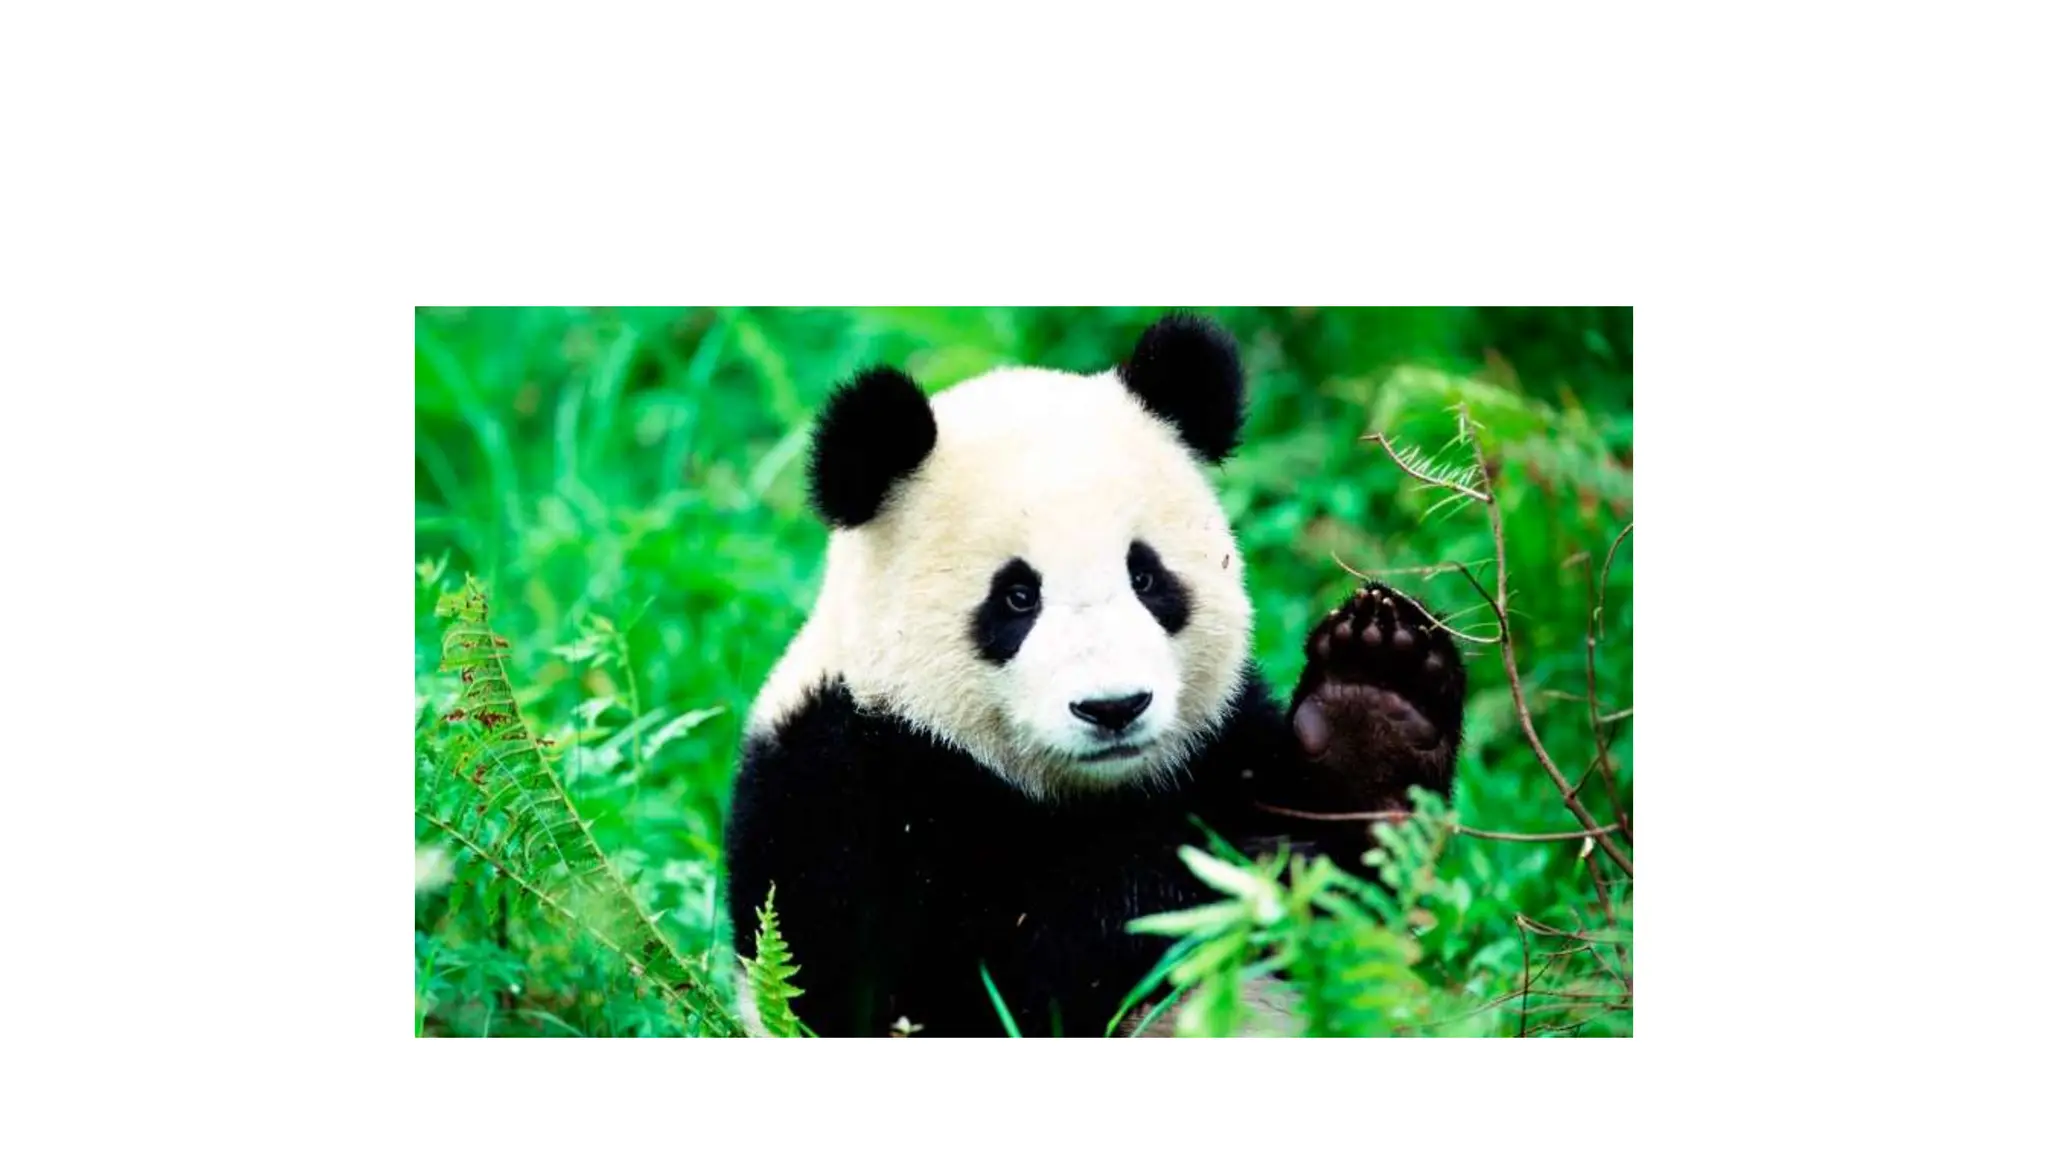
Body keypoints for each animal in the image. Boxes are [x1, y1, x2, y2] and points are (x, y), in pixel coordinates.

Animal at [724, 314, 1466, 1037]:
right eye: (1017, 597)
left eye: (1146, 577)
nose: (1114, 707)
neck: (1084, 794)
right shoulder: (836, 789)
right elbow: (932, 986)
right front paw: (1229, 875)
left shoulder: (1226, 738)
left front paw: (1372, 708)